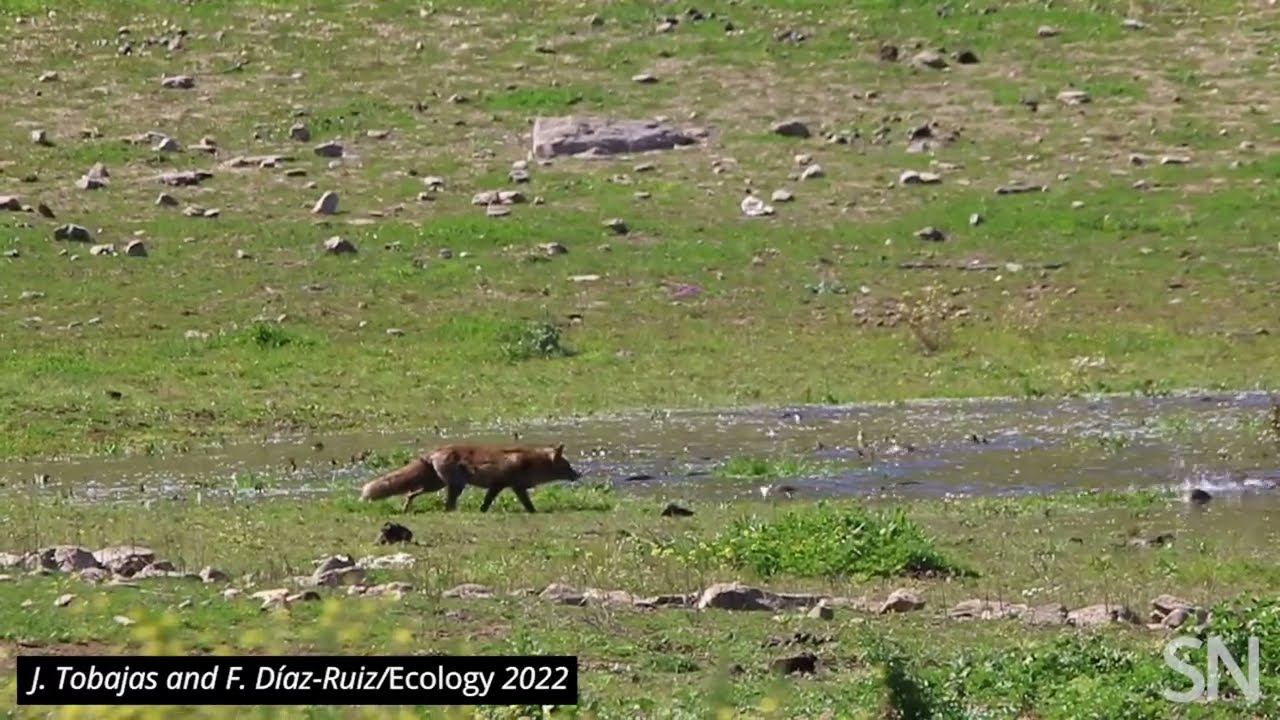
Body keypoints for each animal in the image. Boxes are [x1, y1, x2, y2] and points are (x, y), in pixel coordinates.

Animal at [358, 443, 582, 514]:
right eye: (568, 465)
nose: (579, 475)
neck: (531, 463)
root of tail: (436, 450)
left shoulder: (503, 486)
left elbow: (487, 503)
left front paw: (482, 512)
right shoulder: (507, 485)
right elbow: (526, 504)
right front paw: (534, 512)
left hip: (434, 485)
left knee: (411, 493)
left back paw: (406, 507)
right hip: (455, 485)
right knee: (447, 504)